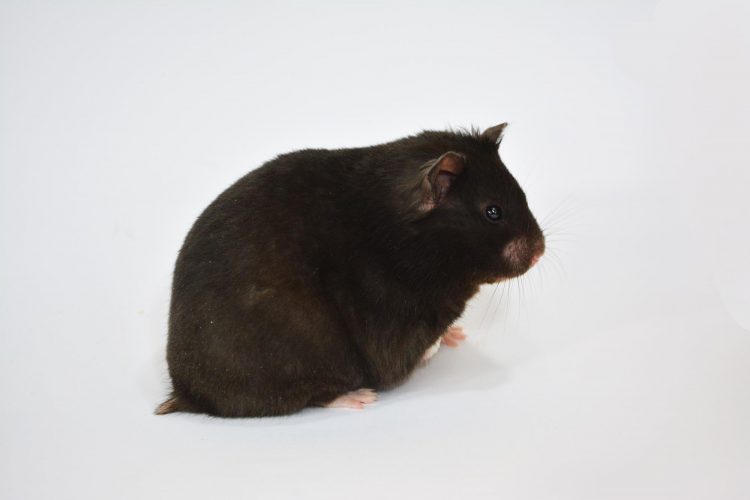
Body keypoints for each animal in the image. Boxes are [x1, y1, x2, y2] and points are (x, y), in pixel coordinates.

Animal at [156, 123, 544, 417]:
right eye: (493, 212)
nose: (540, 252)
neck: (408, 240)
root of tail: (186, 391)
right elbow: (413, 352)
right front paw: (443, 340)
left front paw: (457, 335)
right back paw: (359, 397)